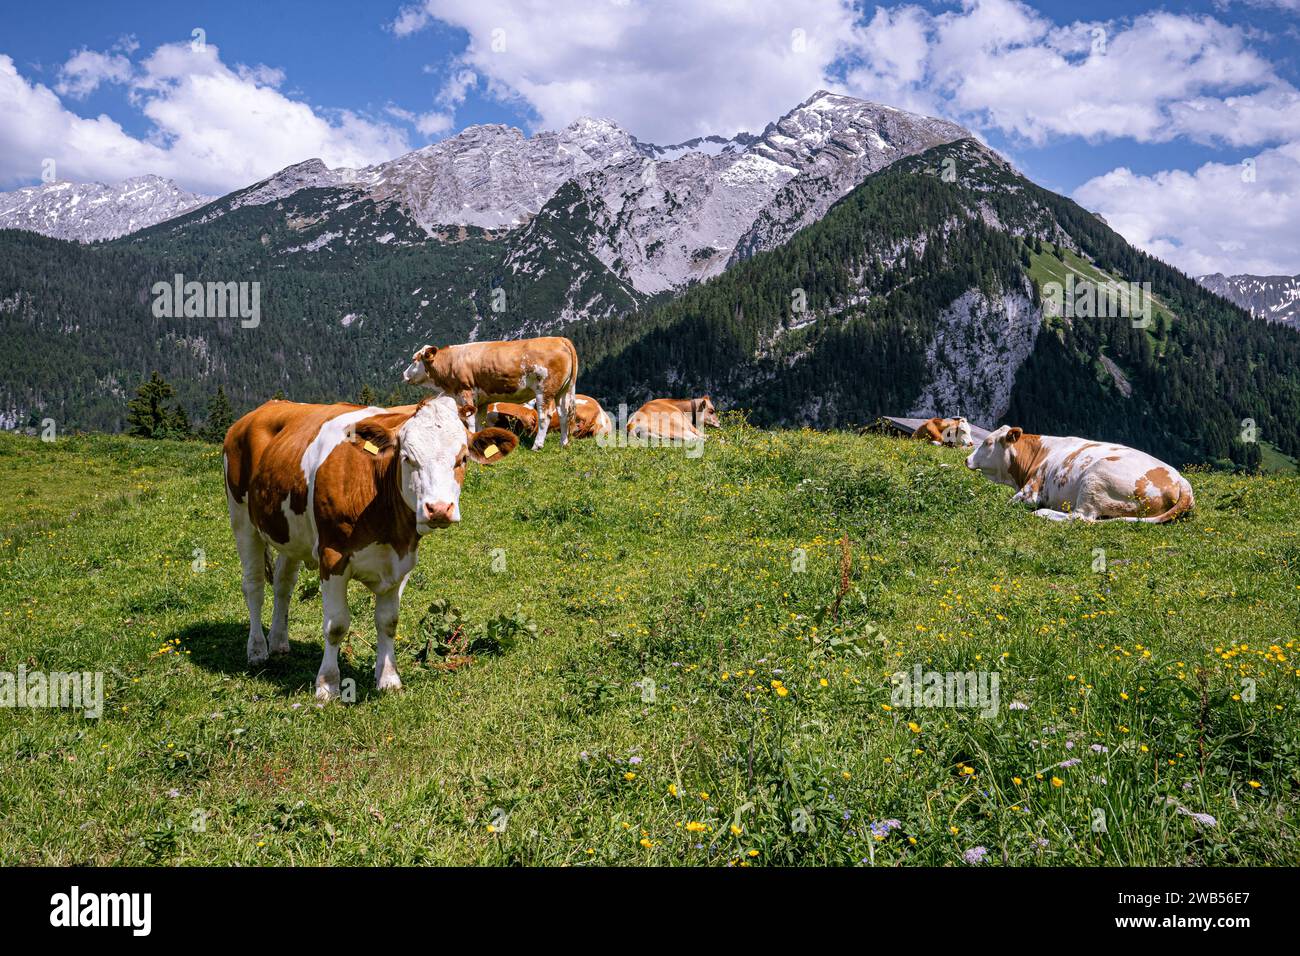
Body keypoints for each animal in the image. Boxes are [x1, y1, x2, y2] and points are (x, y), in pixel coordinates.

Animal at [223, 396, 517, 700]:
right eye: (407, 458)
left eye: (462, 459)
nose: (438, 509)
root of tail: (263, 409)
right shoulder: (332, 556)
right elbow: (336, 624)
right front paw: (327, 685)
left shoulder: (401, 560)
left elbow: (388, 621)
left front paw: (388, 679)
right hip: (242, 518)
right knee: (254, 585)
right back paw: (257, 649)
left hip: (288, 531)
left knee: (283, 584)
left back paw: (279, 641)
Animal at [402, 337, 579, 450]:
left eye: (414, 359)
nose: (404, 374)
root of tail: (560, 339)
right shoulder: (481, 400)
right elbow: (480, 421)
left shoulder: (465, 391)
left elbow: (470, 420)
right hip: (564, 390)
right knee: (564, 414)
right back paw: (564, 443)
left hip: (545, 390)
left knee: (545, 416)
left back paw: (537, 445)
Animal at [965, 425, 1194, 523]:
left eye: (987, 443)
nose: (966, 459)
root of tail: (1181, 481)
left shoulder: (1030, 492)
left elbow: (1007, 503)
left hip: (1095, 478)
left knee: (1082, 517)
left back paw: (1044, 513)